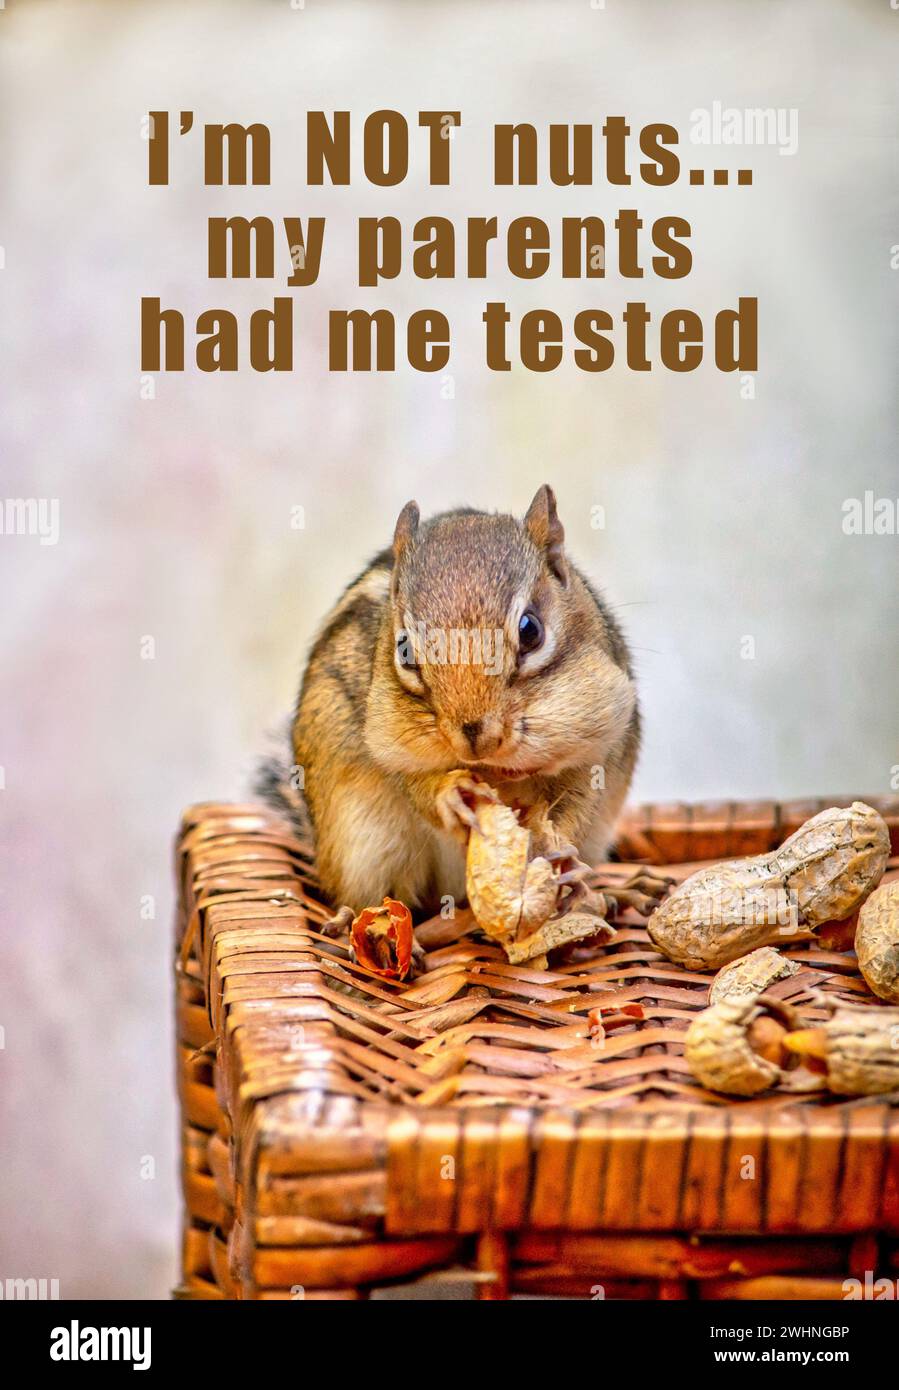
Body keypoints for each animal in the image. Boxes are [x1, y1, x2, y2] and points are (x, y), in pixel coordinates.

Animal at [258, 485, 650, 921]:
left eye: (530, 630)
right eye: (405, 649)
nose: (476, 737)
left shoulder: (602, 742)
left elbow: (579, 801)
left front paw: (564, 858)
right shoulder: (386, 741)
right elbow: (416, 786)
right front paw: (452, 794)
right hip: (358, 844)